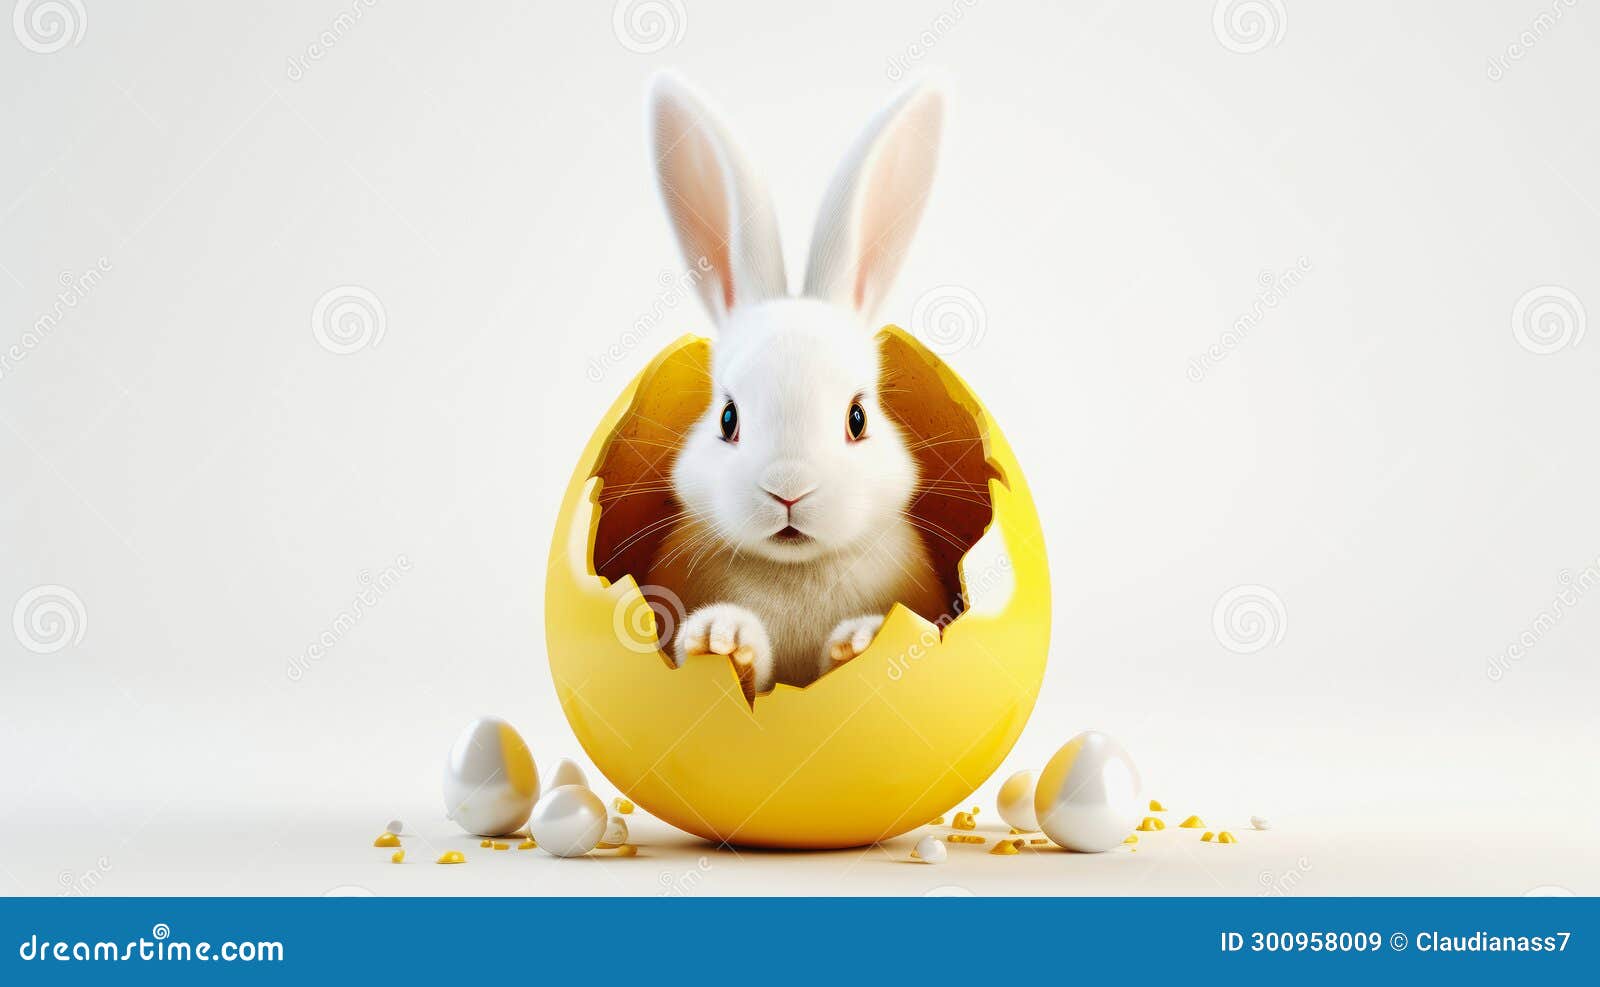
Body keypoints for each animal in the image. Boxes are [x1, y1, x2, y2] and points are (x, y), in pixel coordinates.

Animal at [639, 71, 952, 698]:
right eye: (728, 418)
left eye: (858, 418)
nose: (788, 490)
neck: (796, 570)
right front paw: (721, 639)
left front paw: (863, 643)